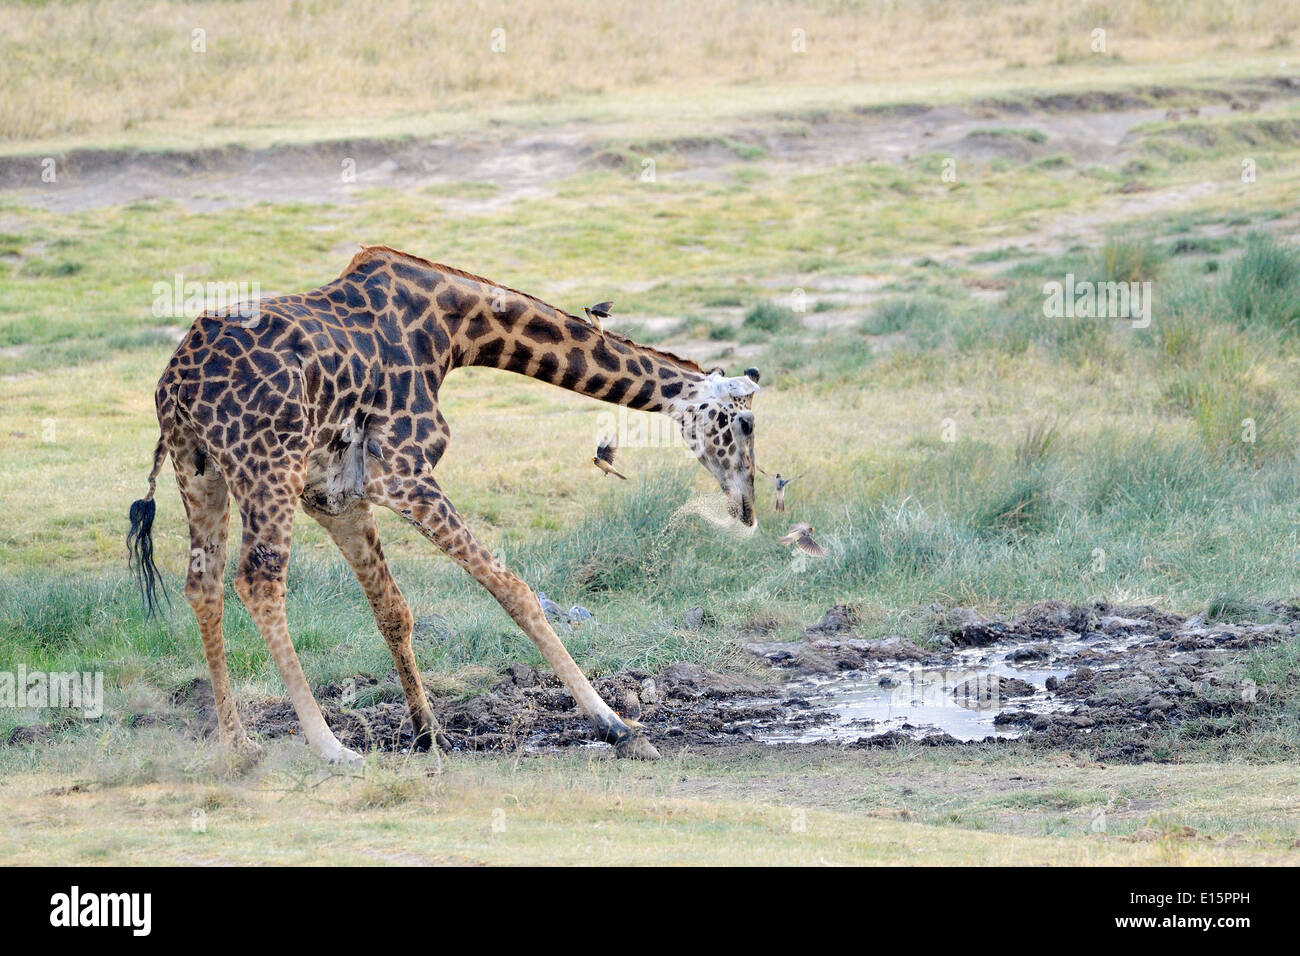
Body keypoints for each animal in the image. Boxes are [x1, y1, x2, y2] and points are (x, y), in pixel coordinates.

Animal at [127, 245, 760, 765]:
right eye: (746, 424)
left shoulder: (334, 495)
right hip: (266, 468)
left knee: (203, 585)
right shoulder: (402, 471)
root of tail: (176, 386)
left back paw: (239, 746)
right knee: (258, 581)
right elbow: (512, 587)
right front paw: (618, 727)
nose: (748, 509)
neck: (453, 330)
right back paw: (331, 748)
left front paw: (429, 732)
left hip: (200, 471)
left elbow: (393, 611)